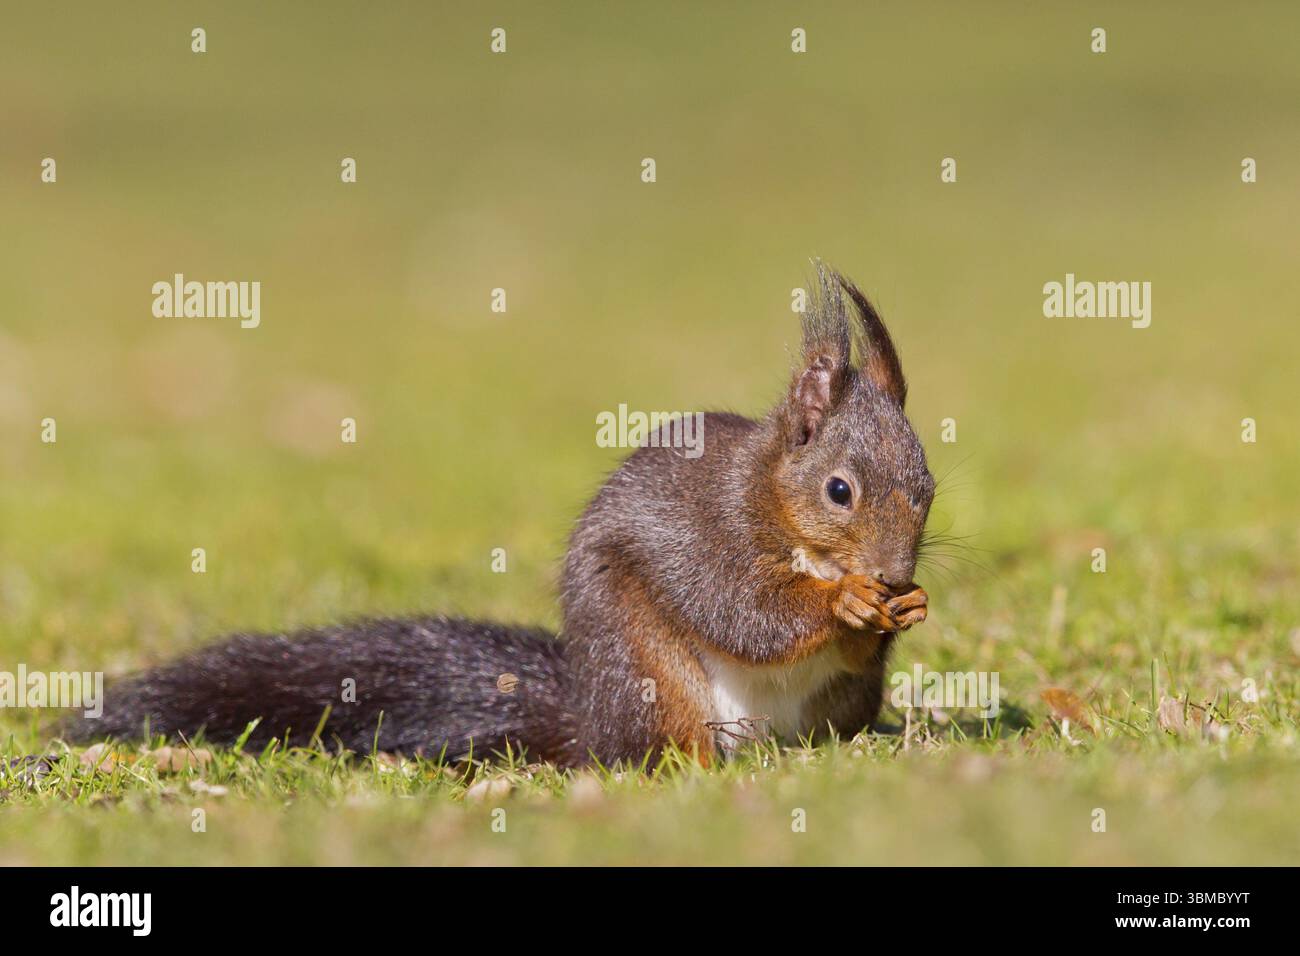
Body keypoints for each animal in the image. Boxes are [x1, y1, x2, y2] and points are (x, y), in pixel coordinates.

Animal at [68, 265, 934, 767]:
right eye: (840, 492)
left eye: (928, 486)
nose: (893, 574)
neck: (774, 501)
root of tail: (589, 714)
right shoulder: (709, 535)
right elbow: (746, 612)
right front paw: (845, 600)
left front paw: (907, 605)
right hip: (651, 679)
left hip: (833, 707)